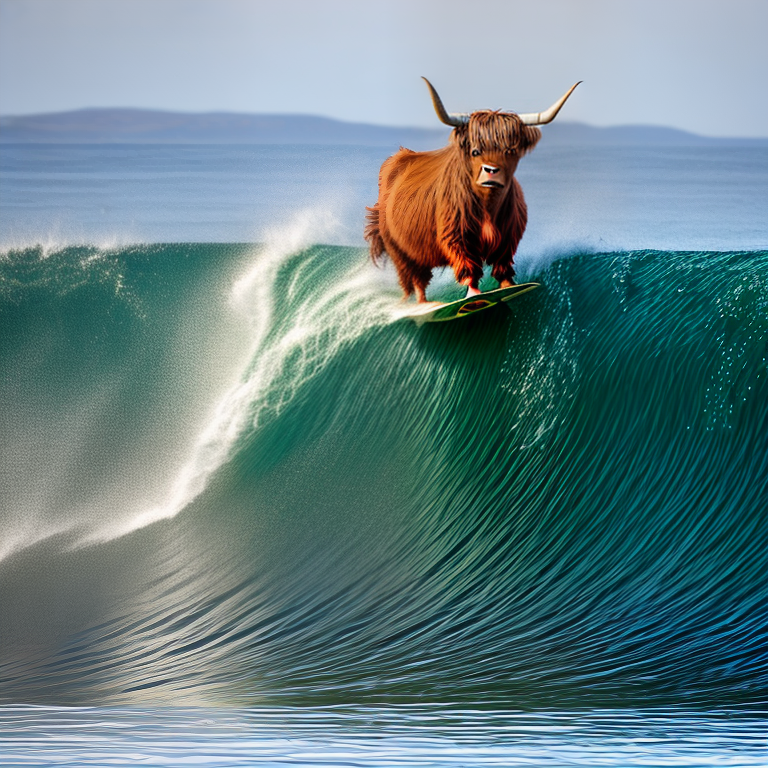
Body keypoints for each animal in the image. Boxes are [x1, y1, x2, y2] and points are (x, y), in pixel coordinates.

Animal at [365, 78, 580, 301]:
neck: (488, 207)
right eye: (475, 151)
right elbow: (469, 267)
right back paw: (420, 304)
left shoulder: (508, 237)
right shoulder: (457, 237)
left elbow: (503, 267)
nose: (491, 171)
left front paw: (509, 287)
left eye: (510, 151)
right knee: (414, 281)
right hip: (399, 249)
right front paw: (474, 296)